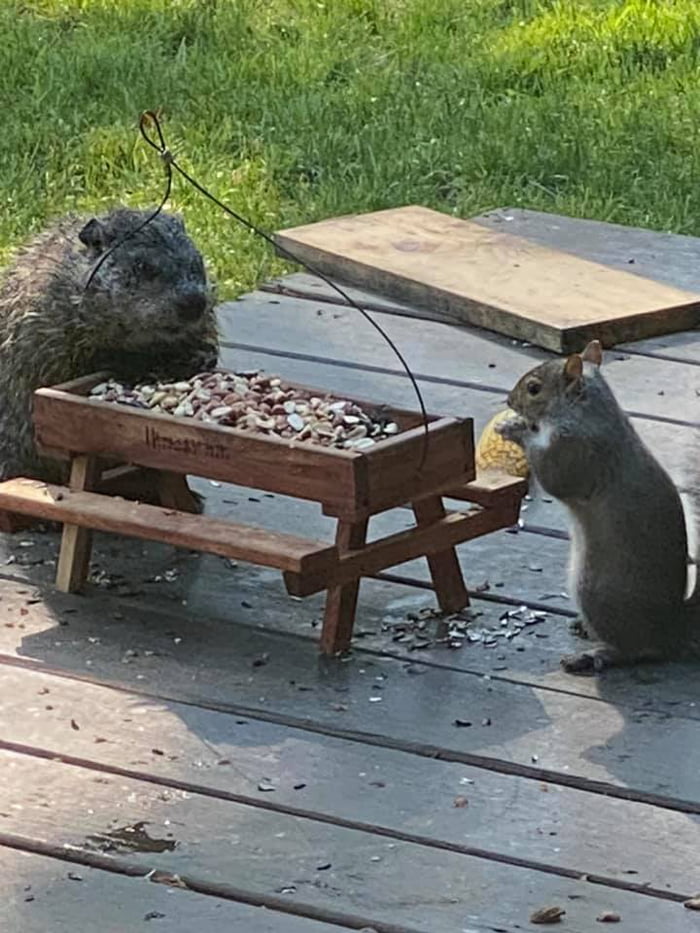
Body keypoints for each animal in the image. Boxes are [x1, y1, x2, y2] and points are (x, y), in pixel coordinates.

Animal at [495, 339, 699, 673]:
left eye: (534, 389)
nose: (509, 400)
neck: (585, 415)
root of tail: (671, 630)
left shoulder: (577, 454)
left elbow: (556, 479)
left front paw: (517, 429)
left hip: (594, 590)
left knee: (639, 650)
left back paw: (592, 655)